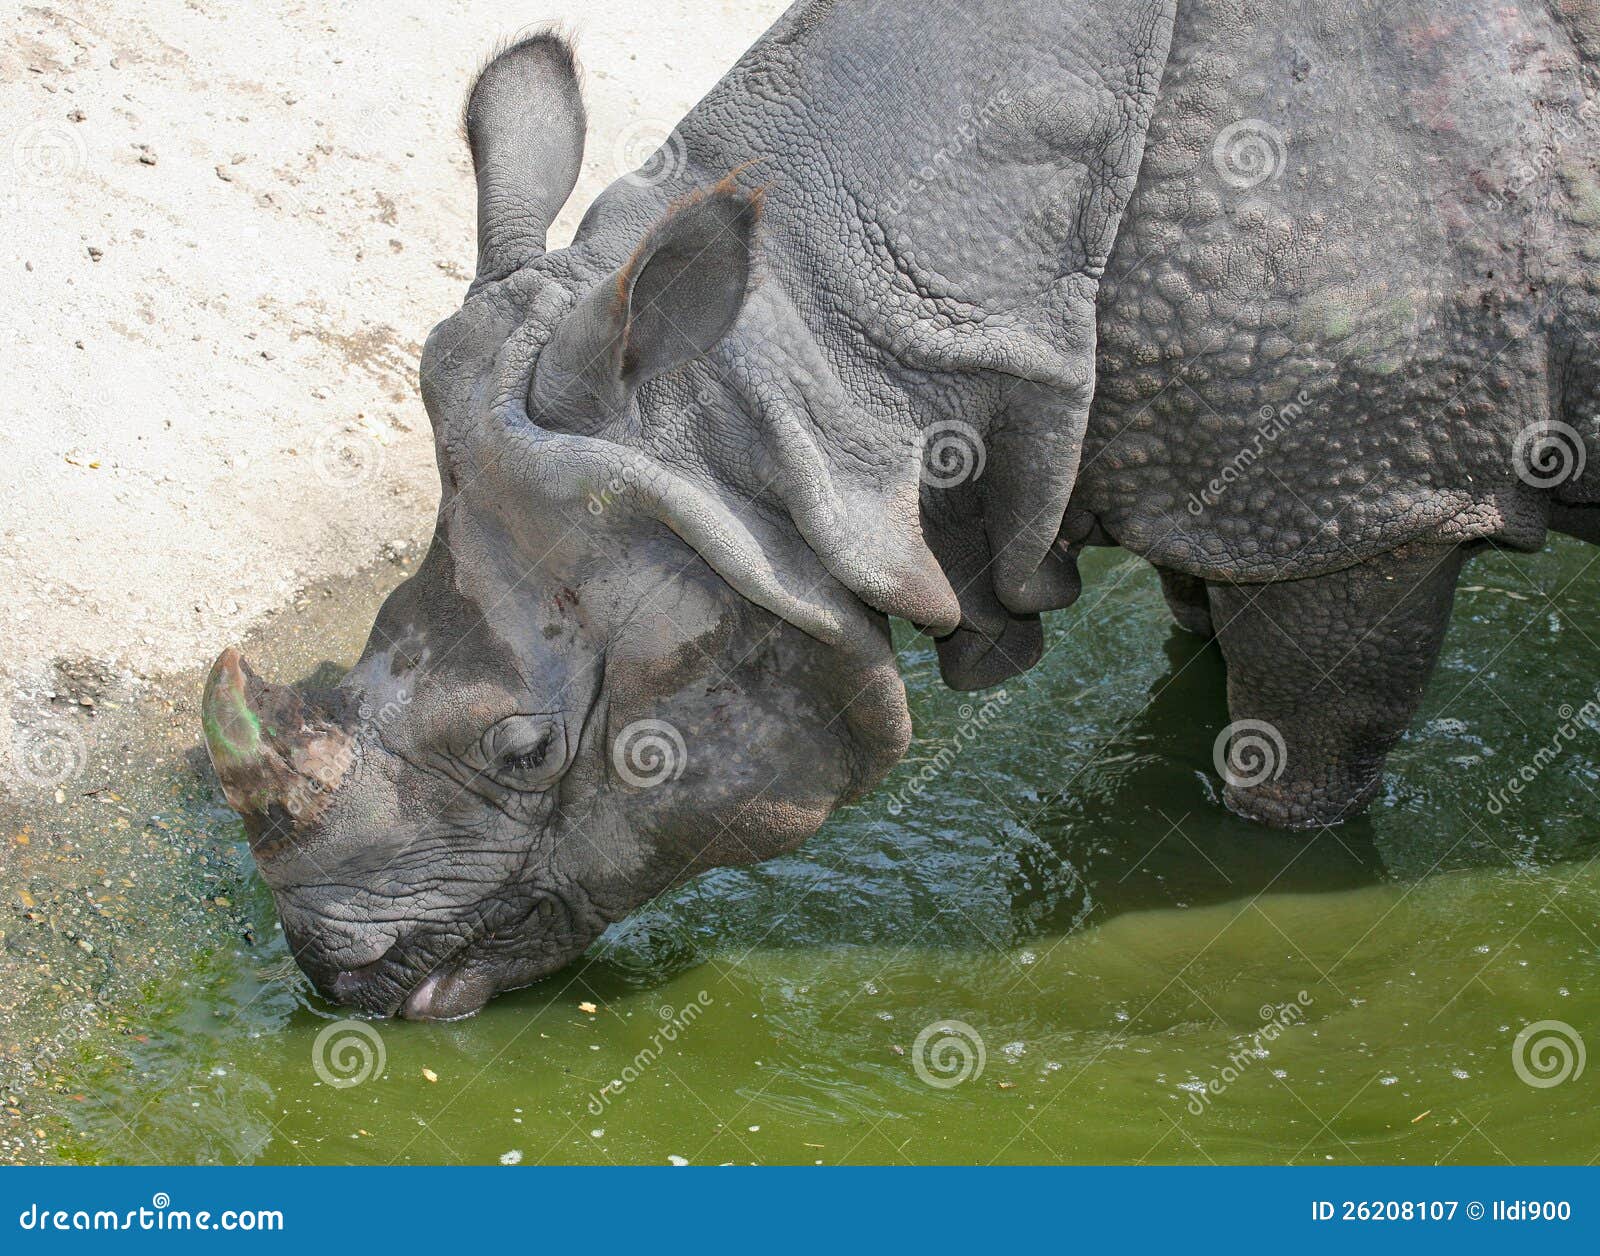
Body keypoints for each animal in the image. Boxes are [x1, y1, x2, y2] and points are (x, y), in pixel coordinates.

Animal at [202, 0, 1600, 1018]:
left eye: (521, 749)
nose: (332, 972)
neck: (805, 369)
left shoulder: (1370, 500)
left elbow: (1302, 740)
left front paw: (1276, 862)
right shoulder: (1211, 467)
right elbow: (1197, 625)